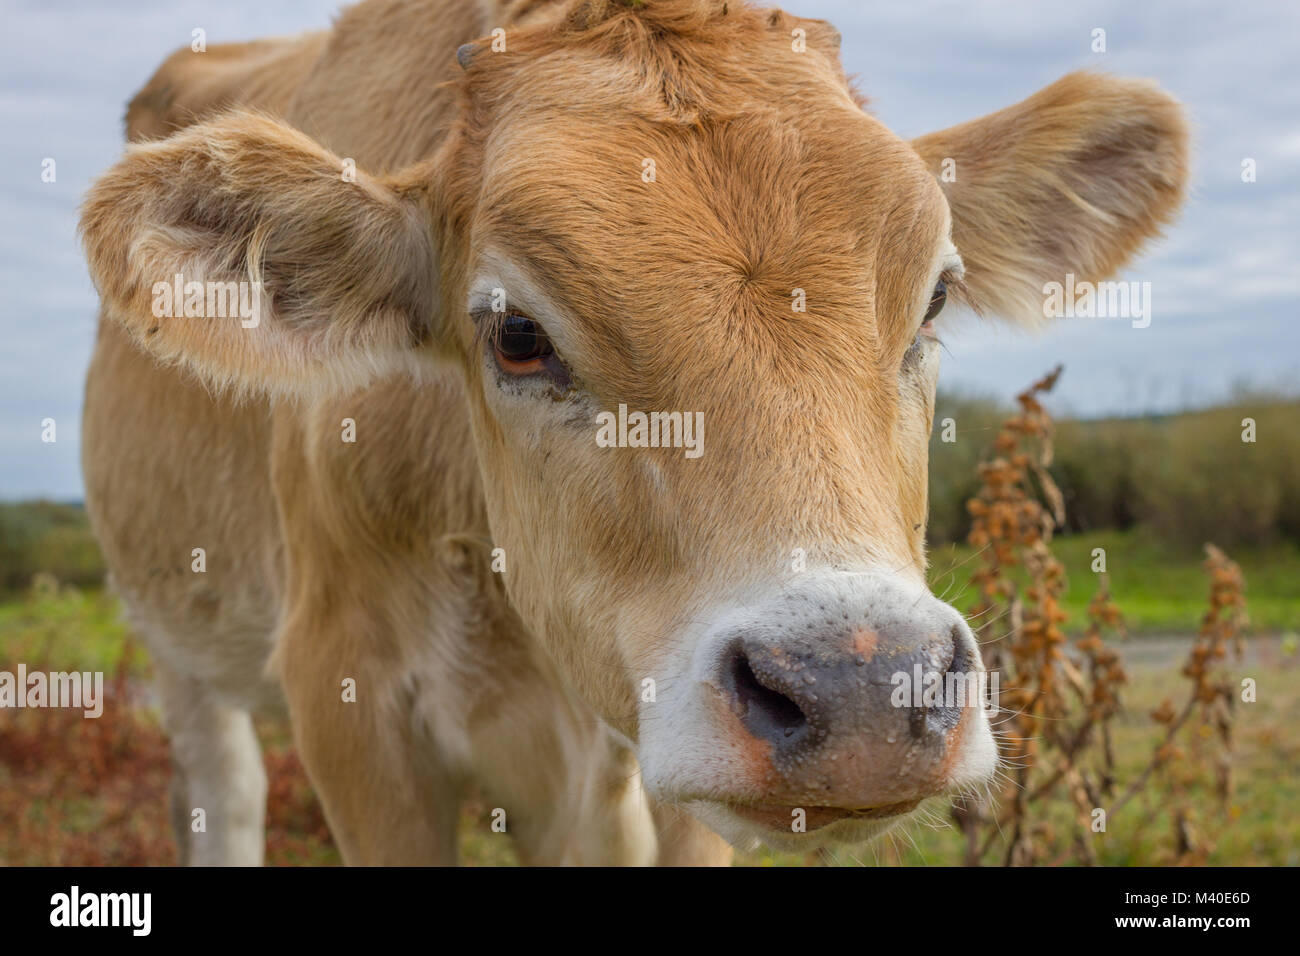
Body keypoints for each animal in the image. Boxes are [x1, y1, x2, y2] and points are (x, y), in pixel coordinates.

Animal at [78, 0, 1189, 865]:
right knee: (225, 793)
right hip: (174, 640)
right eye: (516, 334)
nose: (864, 691)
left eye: (936, 297)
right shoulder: (347, 698)